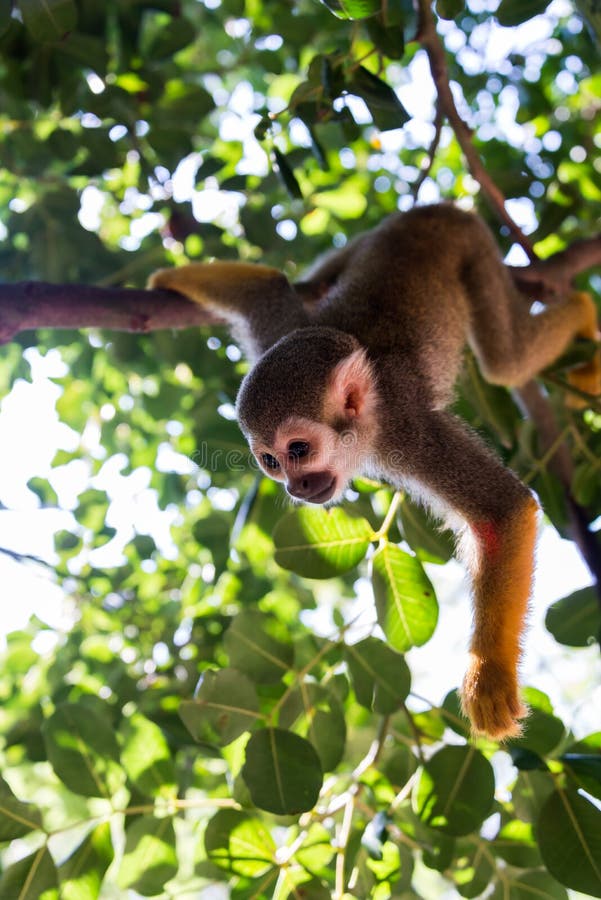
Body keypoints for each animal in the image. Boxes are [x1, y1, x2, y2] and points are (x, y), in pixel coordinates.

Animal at [148, 203, 601, 740]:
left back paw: (581, 312)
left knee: (503, 364)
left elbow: (501, 510)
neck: (365, 425)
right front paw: (169, 277)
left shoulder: (405, 431)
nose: (297, 486)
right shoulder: (281, 332)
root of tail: (428, 213)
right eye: (271, 461)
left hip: (472, 248)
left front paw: (489, 678)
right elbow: (266, 286)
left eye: (298, 449)